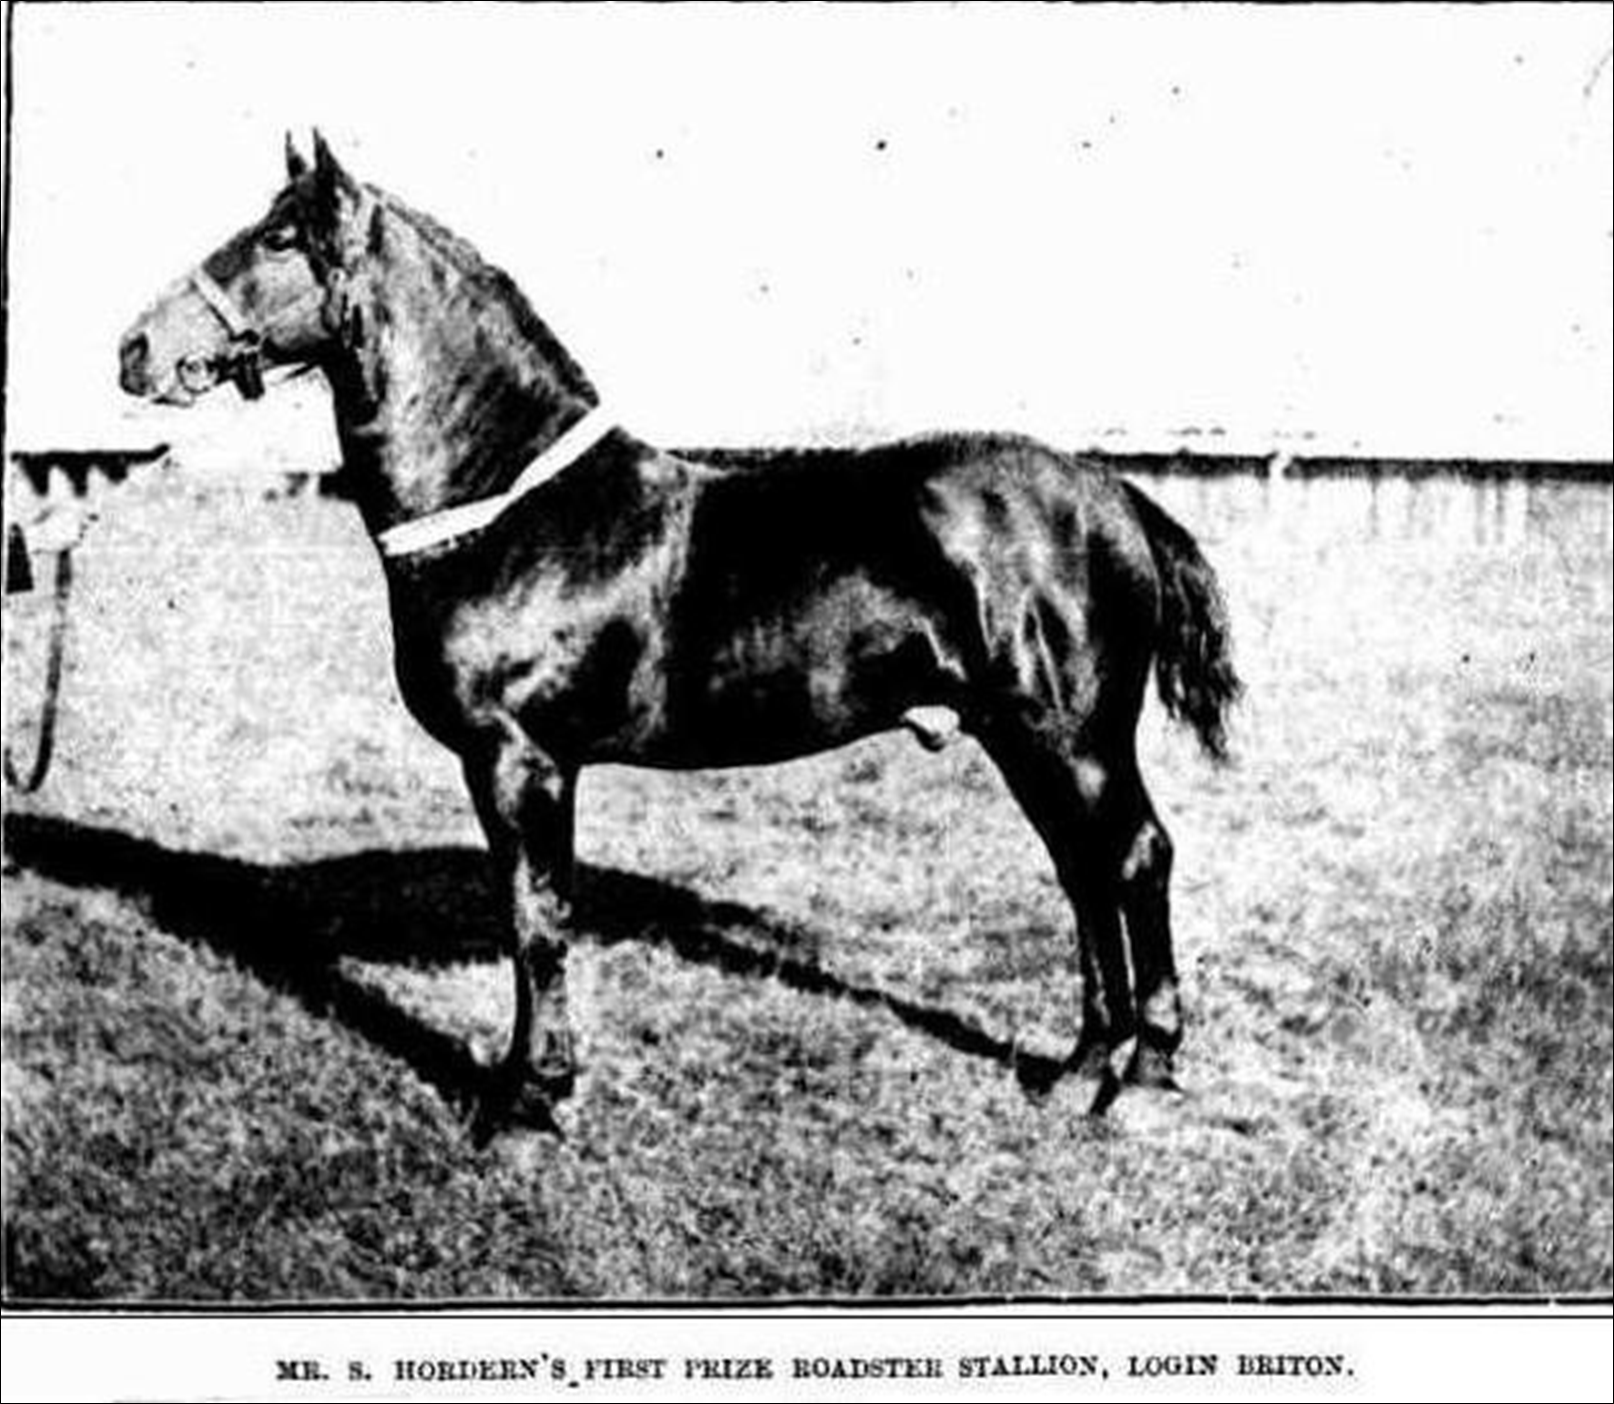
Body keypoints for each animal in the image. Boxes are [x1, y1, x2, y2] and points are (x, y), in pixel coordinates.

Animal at [118, 133, 1240, 1135]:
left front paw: (528, 1104)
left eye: (277, 237)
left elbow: (536, 921)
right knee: (1083, 872)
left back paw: (1144, 1077)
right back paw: (1077, 1067)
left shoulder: (521, 760)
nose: (135, 350)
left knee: (1135, 857)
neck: (512, 509)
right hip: (1022, 741)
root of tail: (1112, 494)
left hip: (1073, 739)